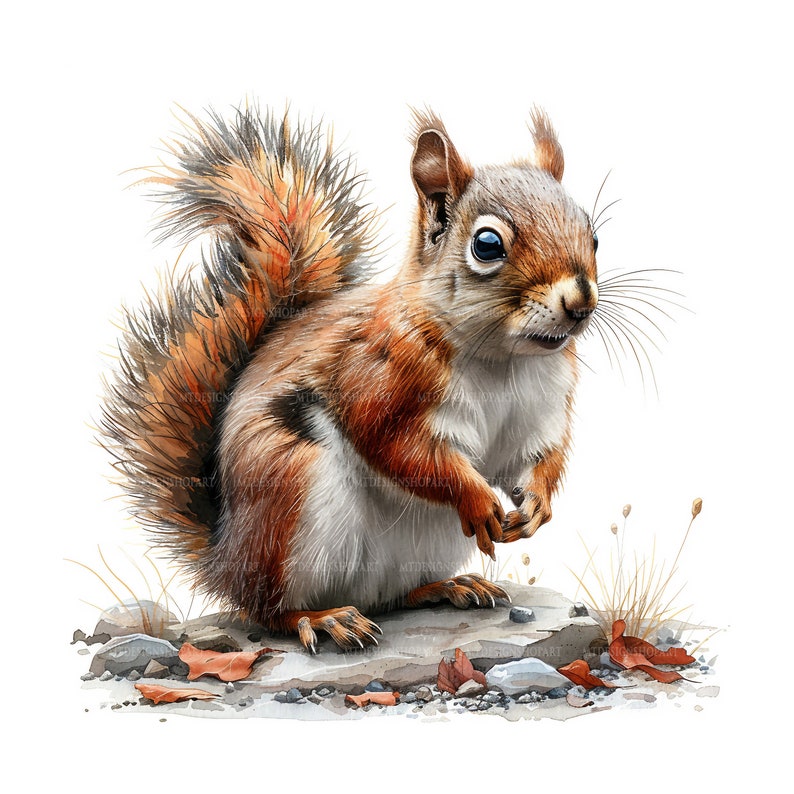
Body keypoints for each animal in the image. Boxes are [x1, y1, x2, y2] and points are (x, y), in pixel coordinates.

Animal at [101, 103, 599, 653]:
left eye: (593, 233)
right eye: (487, 245)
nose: (580, 303)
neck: (504, 360)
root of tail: (224, 556)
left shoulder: (543, 409)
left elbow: (535, 457)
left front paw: (536, 505)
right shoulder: (376, 381)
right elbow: (401, 450)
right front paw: (475, 497)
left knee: (393, 596)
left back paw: (449, 586)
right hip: (291, 496)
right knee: (267, 609)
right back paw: (322, 619)